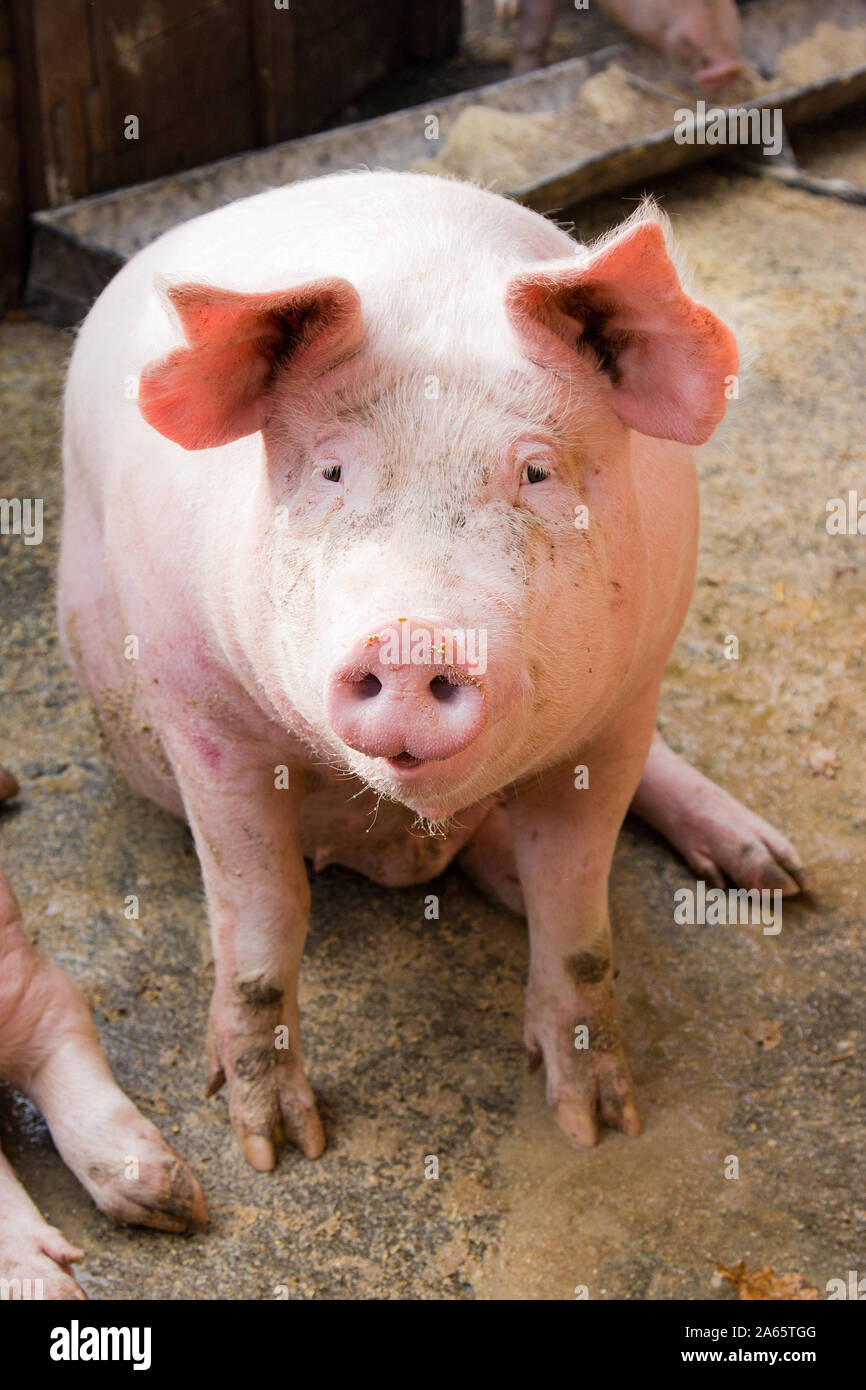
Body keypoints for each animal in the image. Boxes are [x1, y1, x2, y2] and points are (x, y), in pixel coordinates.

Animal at [59, 170, 805, 1172]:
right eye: (332, 471)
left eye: (536, 472)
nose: (412, 643)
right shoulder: (201, 716)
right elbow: (261, 919)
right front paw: (278, 1148)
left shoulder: (617, 716)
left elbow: (581, 923)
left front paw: (597, 1125)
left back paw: (778, 878)